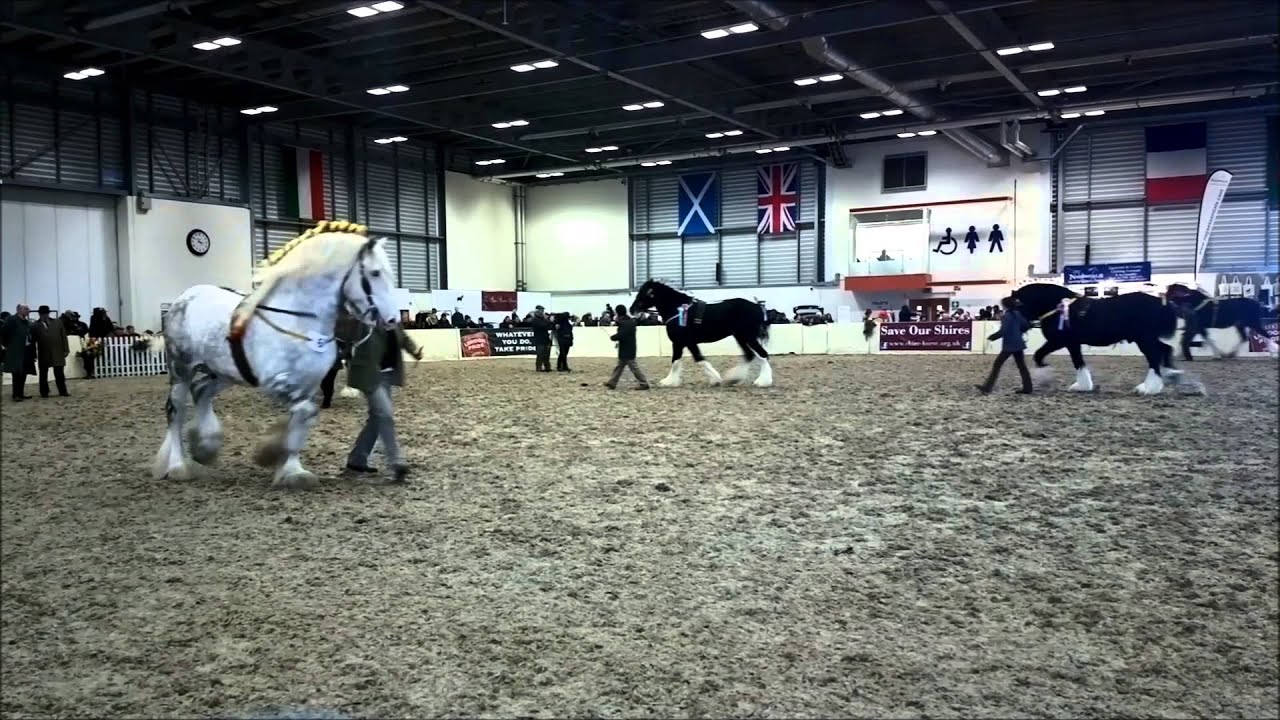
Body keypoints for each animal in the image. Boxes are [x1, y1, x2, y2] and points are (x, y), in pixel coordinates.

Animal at [151, 220, 400, 489]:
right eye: (375, 273)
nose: (392, 319)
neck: (297, 319)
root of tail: (185, 298)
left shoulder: (307, 385)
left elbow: (302, 419)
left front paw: (293, 471)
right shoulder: (275, 382)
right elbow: (304, 413)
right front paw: (271, 454)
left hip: (223, 373)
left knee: (201, 391)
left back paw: (206, 447)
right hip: (181, 368)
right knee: (175, 411)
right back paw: (178, 466)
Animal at [629, 279, 774, 387]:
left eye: (646, 293)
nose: (631, 309)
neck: (677, 310)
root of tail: (757, 307)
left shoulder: (684, 342)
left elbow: (691, 360)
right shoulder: (682, 343)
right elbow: (683, 360)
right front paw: (671, 381)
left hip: (747, 336)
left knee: (762, 354)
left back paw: (762, 382)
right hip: (740, 337)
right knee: (749, 355)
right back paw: (734, 379)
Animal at [1010, 282, 1185, 396]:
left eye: (1018, 305)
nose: (1021, 328)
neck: (1058, 308)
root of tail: (1160, 302)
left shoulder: (1059, 341)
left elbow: (1039, 355)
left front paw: (1044, 374)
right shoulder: (1073, 344)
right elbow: (1078, 363)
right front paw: (1082, 386)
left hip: (1144, 339)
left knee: (1154, 357)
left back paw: (1149, 388)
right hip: (1146, 338)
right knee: (1165, 349)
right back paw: (1172, 375)